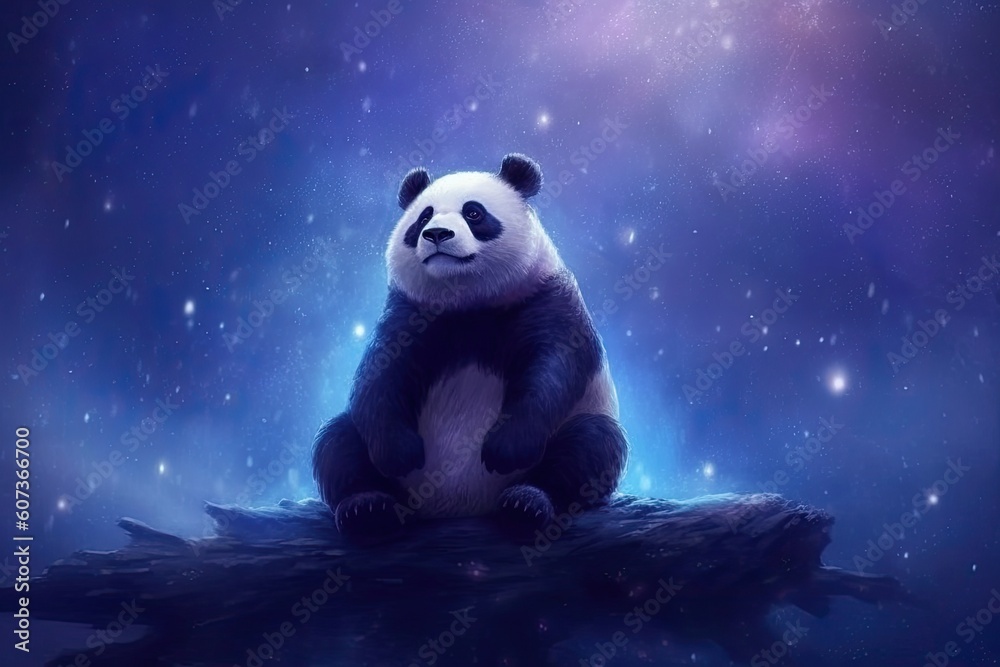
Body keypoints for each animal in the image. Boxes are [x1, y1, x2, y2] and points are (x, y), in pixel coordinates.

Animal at [313, 153, 629, 536]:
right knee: (338, 442)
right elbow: (380, 375)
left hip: (585, 419)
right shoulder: (411, 314)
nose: (436, 234)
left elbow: (554, 367)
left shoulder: (548, 301)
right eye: (423, 217)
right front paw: (399, 454)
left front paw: (506, 448)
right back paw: (367, 508)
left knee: (589, 449)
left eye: (474, 213)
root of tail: (456, 504)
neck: (468, 302)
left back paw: (526, 503)